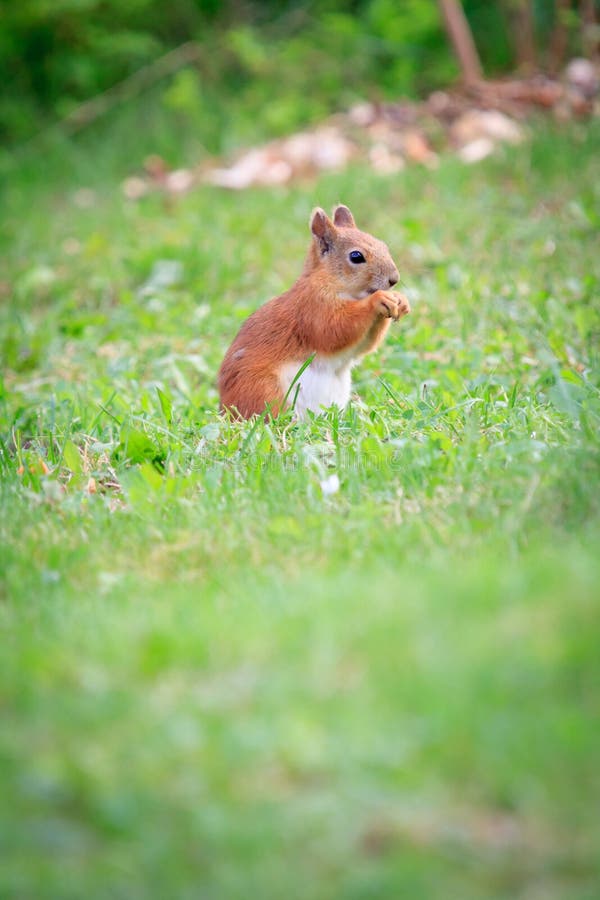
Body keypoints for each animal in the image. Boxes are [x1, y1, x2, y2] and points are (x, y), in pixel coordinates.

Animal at [218, 204, 410, 419]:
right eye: (356, 256)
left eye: (384, 246)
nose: (394, 279)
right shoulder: (312, 307)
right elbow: (334, 330)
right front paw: (378, 299)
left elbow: (364, 346)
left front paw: (401, 300)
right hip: (263, 390)